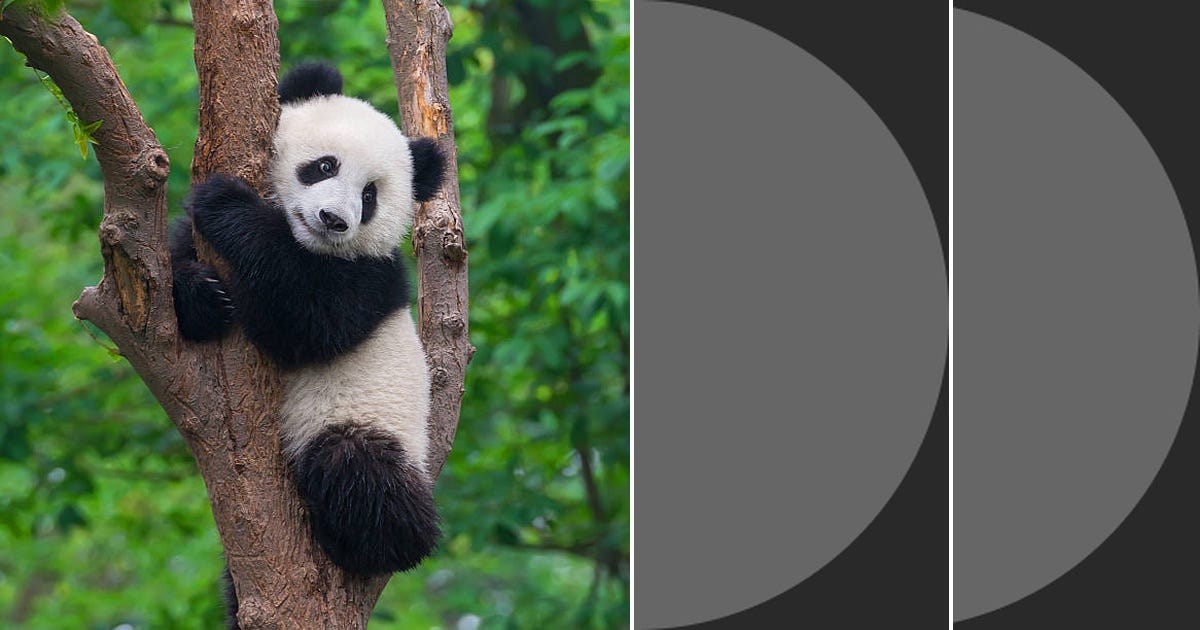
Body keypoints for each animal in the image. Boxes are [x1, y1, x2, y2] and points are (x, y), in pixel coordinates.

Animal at [169, 62, 446, 588]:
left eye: (369, 196)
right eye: (324, 166)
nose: (334, 219)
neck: (309, 243)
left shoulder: (372, 278)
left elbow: (306, 321)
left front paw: (226, 204)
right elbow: (172, 269)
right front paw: (201, 296)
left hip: (368, 421)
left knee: (359, 470)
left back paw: (370, 543)